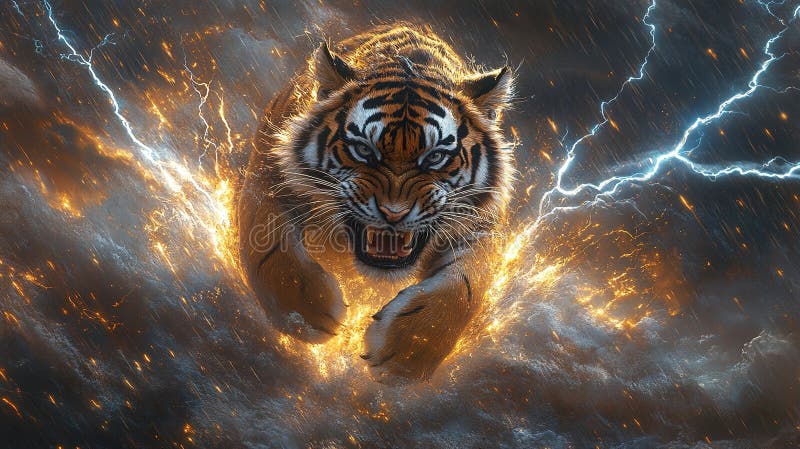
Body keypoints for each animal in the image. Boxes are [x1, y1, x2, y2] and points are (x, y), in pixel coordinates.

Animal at [238, 23, 514, 381]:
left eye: (435, 157)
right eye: (363, 150)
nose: (393, 214)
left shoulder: (484, 226)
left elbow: (465, 288)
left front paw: (405, 351)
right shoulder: (267, 176)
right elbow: (270, 247)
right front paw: (308, 313)